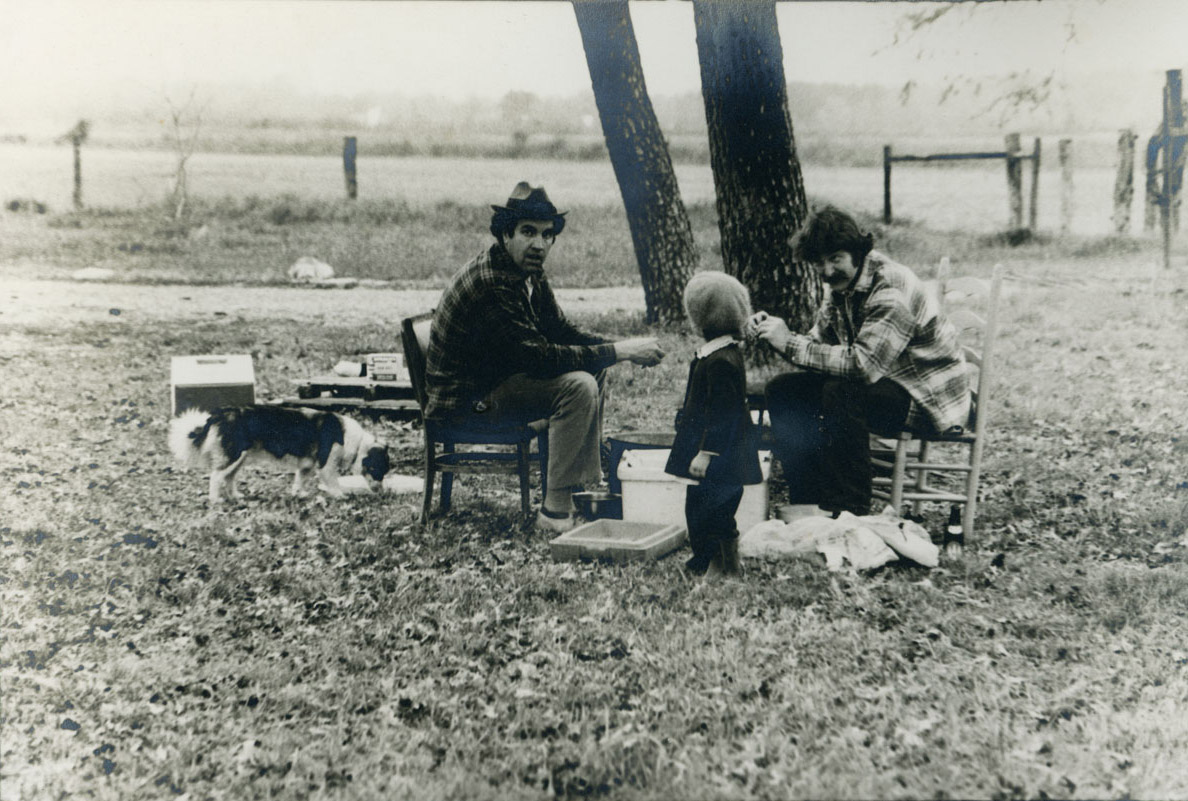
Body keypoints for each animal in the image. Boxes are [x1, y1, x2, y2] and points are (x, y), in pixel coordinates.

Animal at [169, 406, 392, 506]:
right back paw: (216, 500)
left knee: (229, 478)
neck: (357, 441)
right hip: (233, 456)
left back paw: (236, 496)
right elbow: (333, 482)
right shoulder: (326, 464)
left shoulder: (306, 464)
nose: (381, 492)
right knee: (215, 477)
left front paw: (299, 494)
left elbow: (299, 480)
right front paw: (339, 495)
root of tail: (220, 414)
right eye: (379, 470)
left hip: (240, 459)